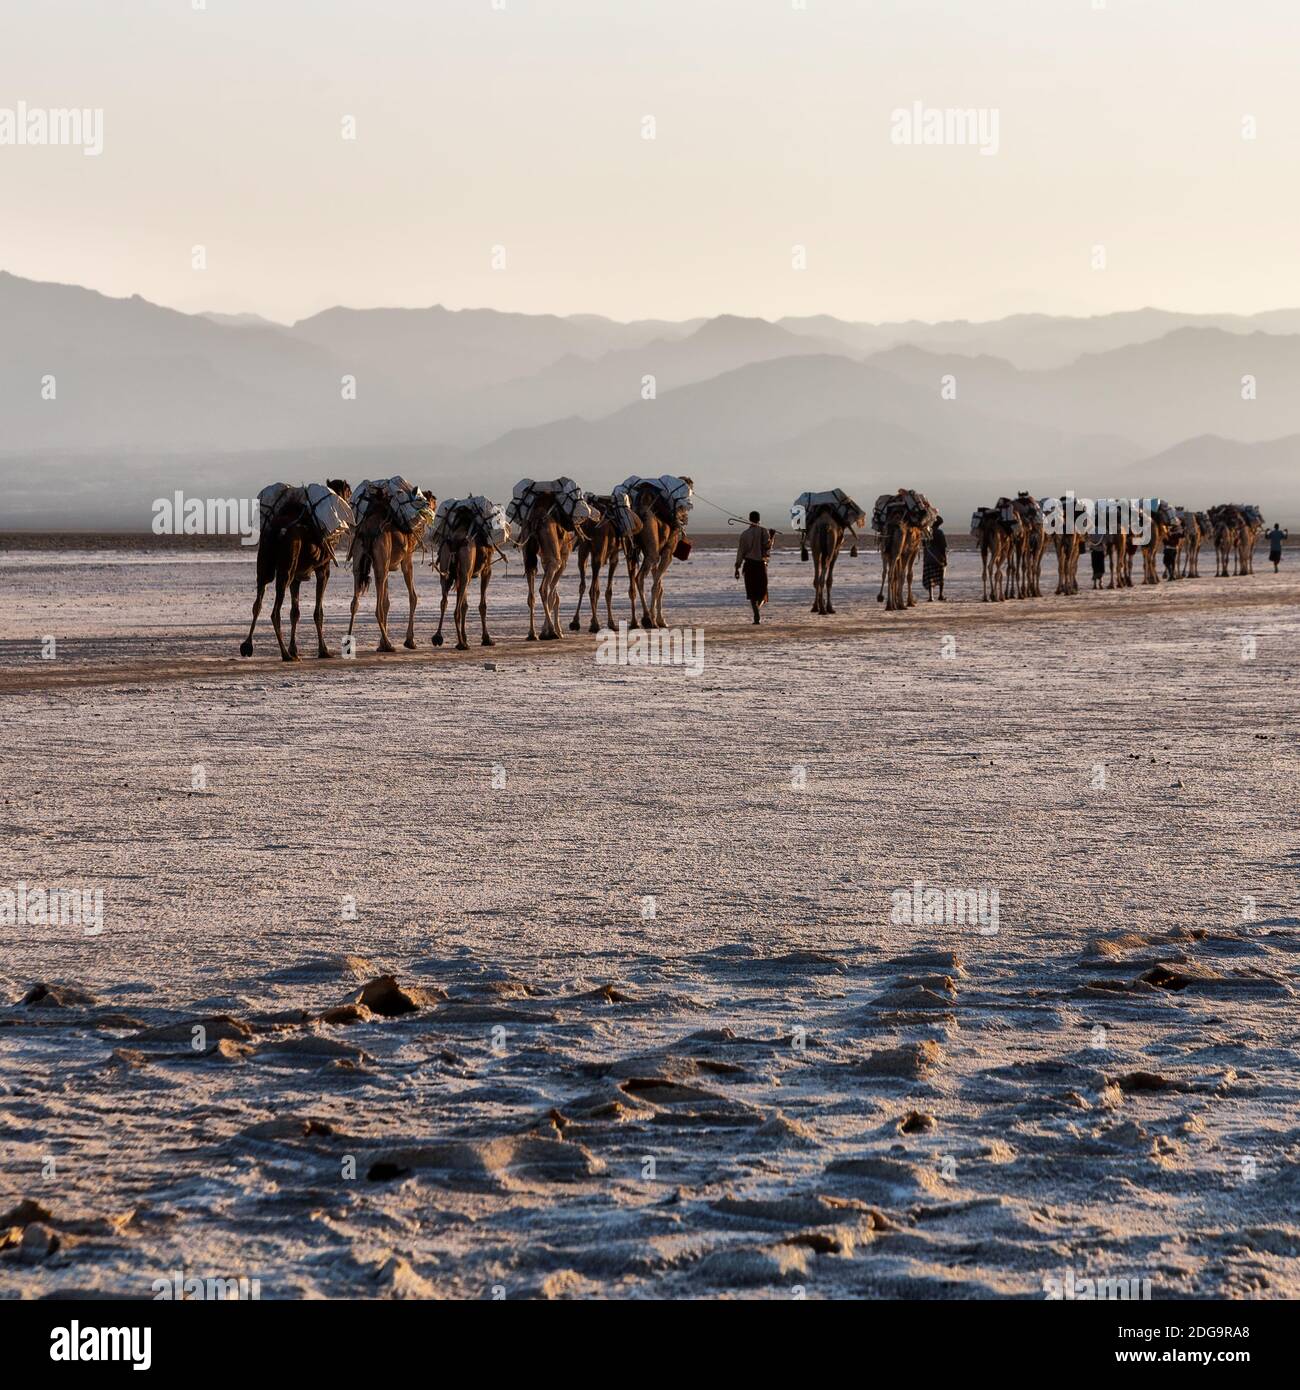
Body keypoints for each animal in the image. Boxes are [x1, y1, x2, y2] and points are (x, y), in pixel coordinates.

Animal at [239, 480, 352, 661]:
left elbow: (295, 612)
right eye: (348, 491)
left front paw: (295, 649)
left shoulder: (297, 577)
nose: (350, 501)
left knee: (257, 603)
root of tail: (277, 531)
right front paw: (323, 650)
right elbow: (318, 612)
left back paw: (247, 646)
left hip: (265, 566)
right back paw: (285, 654)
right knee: (274, 612)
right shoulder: (323, 570)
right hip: (286, 569)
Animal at [346, 482, 435, 652]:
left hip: (360, 561)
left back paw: (348, 643)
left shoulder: (386, 566)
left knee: (355, 602)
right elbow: (413, 597)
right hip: (381, 560)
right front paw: (409, 641)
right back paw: (389, 644)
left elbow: (387, 602)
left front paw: (381, 643)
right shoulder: (406, 559)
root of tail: (367, 531)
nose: (432, 508)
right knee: (377, 609)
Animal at [431, 498, 508, 650]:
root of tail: (455, 542)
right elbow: (482, 605)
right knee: (456, 610)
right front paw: (486, 638)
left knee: (444, 602)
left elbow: (465, 605)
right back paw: (461, 644)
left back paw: (438, 637)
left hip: (447, 570)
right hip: (464, 570)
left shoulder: (463, 575)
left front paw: (466, 637)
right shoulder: (486, 570)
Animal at [569, 493, 641, 633]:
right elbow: (614, 590)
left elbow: (599, 588)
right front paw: (630, 622)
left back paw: (575, 622)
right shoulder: (621, 554)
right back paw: (595, 625)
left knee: (583, 585)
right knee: (591, 589)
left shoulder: (608, 553)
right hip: (599, 550)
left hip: (584, 550)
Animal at [619, 476, 693, 629]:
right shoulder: (666, 553)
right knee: (639, 578)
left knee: (633, 581)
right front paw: (659, 620)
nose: (685, 518)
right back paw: (648, 619)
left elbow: (659, 584)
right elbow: (657, 586)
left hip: (631, 549)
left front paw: (660, 619)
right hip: (651, 548)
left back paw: (636, 621)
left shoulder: (656, 552)